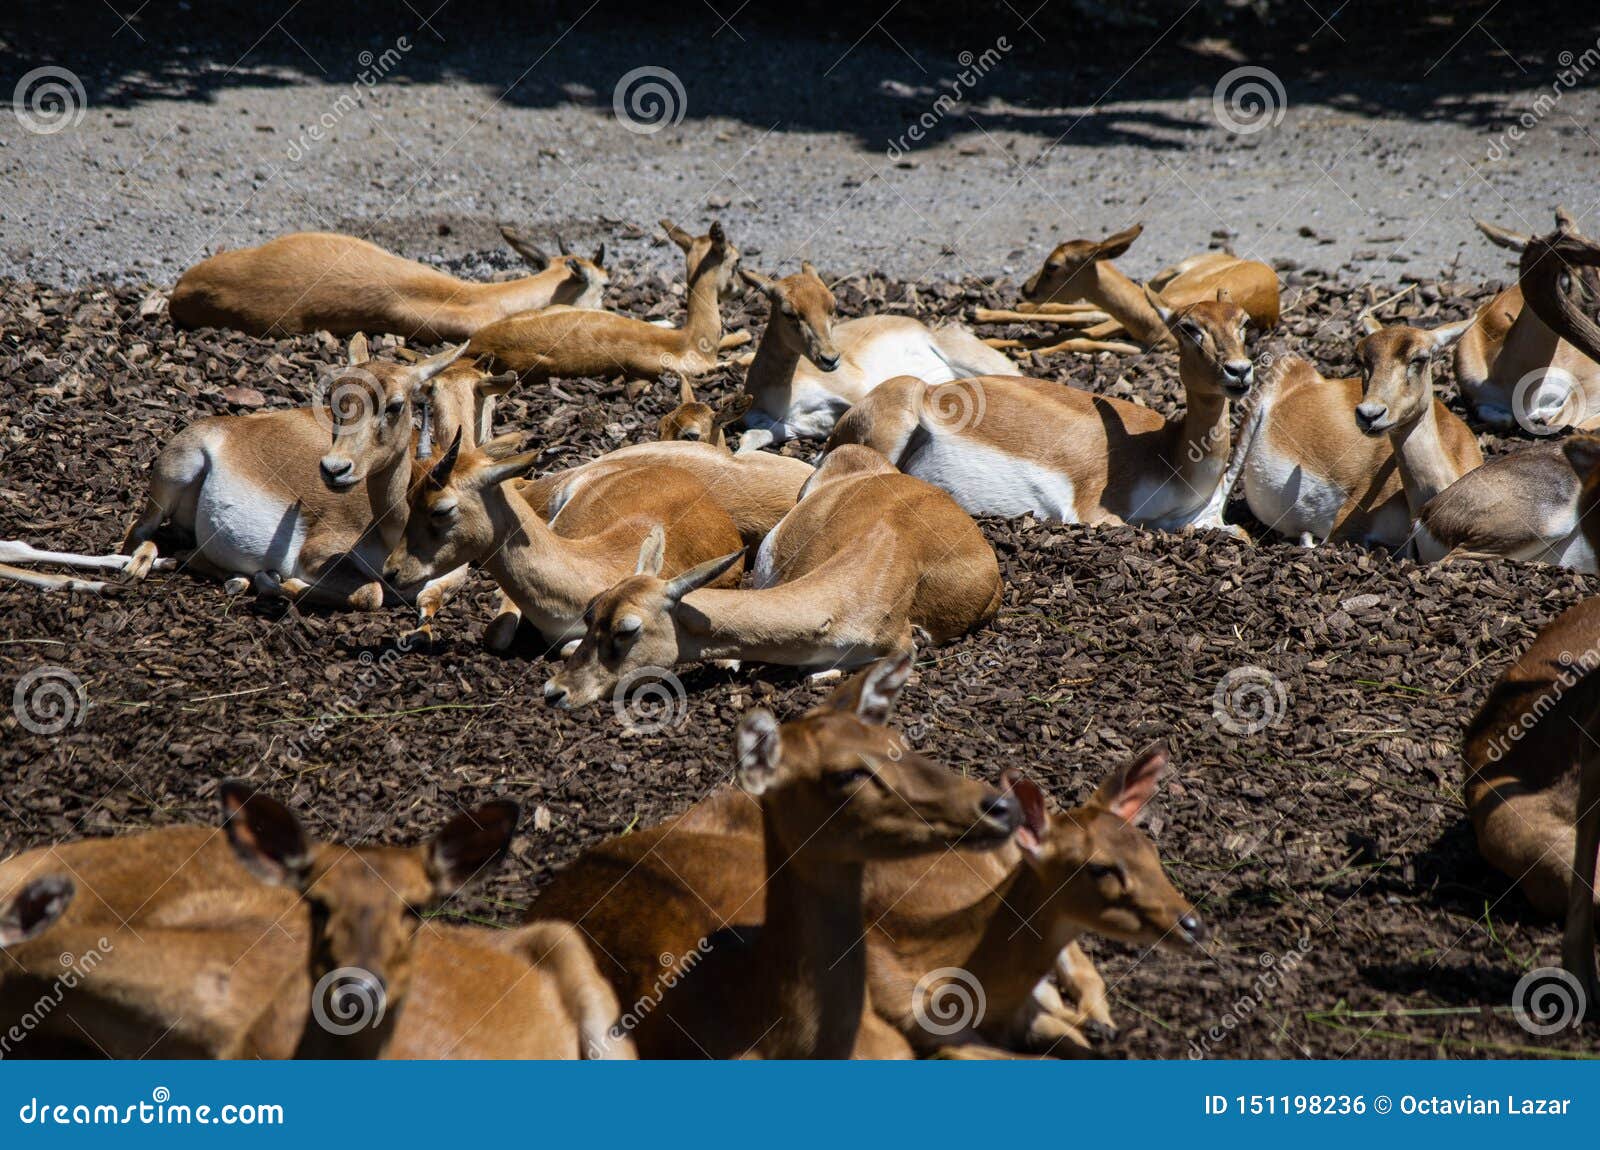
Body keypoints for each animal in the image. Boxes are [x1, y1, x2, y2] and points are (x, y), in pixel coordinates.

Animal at [732, 262, 1021, 451]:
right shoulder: (792, 423)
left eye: (832, 305)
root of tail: (927, 329)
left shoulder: (857, 391)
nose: (830, 359)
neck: (781, 391)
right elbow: (753, 436)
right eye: (789, 312)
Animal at [820, 289, 1254, 535]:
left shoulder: (1204, 520)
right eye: (1188, 327)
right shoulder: (1092, 511)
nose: (1239, 370)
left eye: (1243, 322)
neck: (1170, 454)